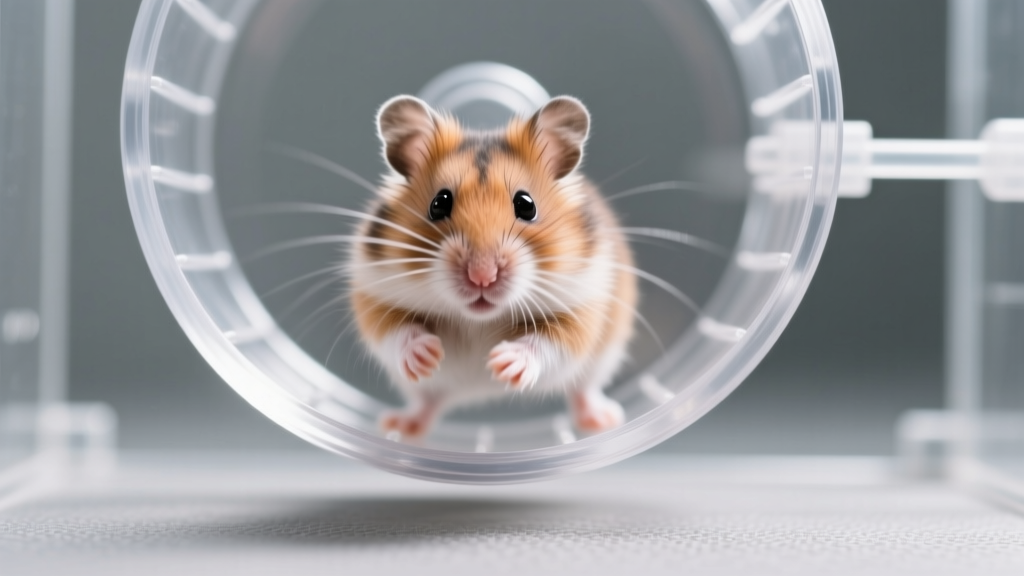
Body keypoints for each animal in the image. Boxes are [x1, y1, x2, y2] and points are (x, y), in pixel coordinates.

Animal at [349, 95, 637, 440]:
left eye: (526, 205)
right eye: (438, 203)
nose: (482, 277)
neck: (479, 319)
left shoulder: (584, 305)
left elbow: (551, 342)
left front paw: (504, 365)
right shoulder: (375, 294)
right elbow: (395, 330)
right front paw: (426, 355)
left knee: (582, 389)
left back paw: (602, 419)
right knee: (429, 401)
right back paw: (401, 426)